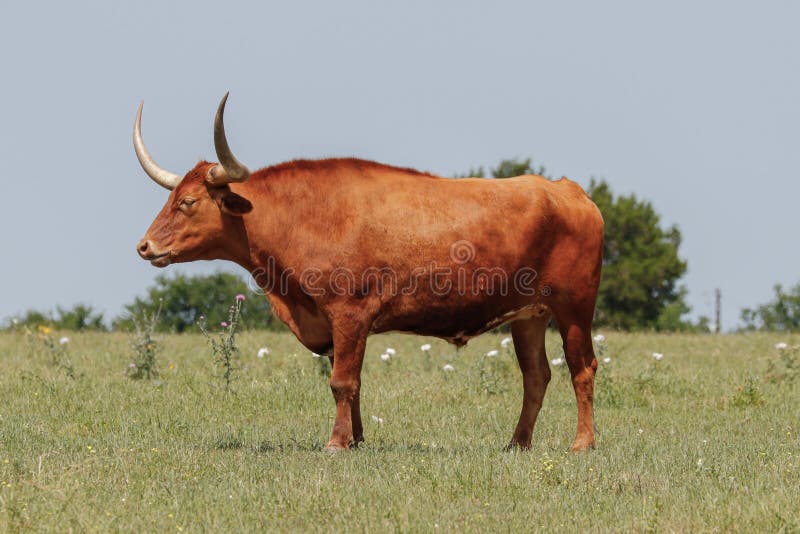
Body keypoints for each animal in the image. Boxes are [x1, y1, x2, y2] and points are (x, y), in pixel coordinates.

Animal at [134, 93, 604, 452]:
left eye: (188, 202)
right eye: (172, 197)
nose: (144, 246)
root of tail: (567, 190)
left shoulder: (349, 312)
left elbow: (342, 381)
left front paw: (336, 444)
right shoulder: (335, 323)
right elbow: (353, 381)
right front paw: (357, 440)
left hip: (574, 308)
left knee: (582, 368)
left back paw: (582, 443)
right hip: (529, 316)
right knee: (536, 376)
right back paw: (517, 444)